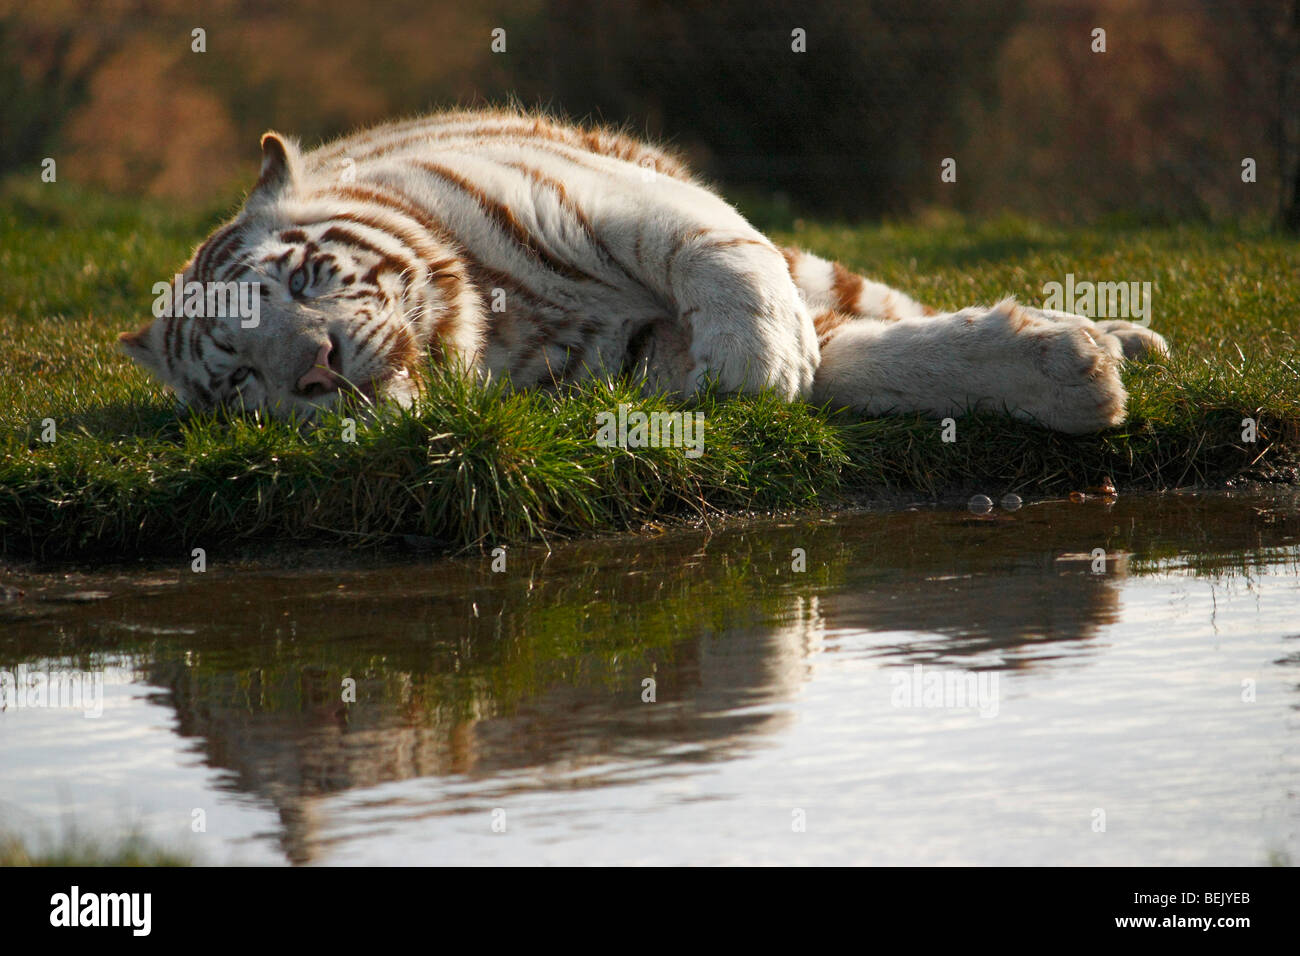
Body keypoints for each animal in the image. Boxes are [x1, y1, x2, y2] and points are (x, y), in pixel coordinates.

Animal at [119, 108, 1168, 434]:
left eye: (302, 281)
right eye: (240, 380)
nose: (318, 368)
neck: (497, 325)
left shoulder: (607, 197)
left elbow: (726, 260)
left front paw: (758, 363)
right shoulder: (631, 361)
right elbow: (868, 363)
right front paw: (1069, 374)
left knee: (845, 289)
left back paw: (1131, 336)